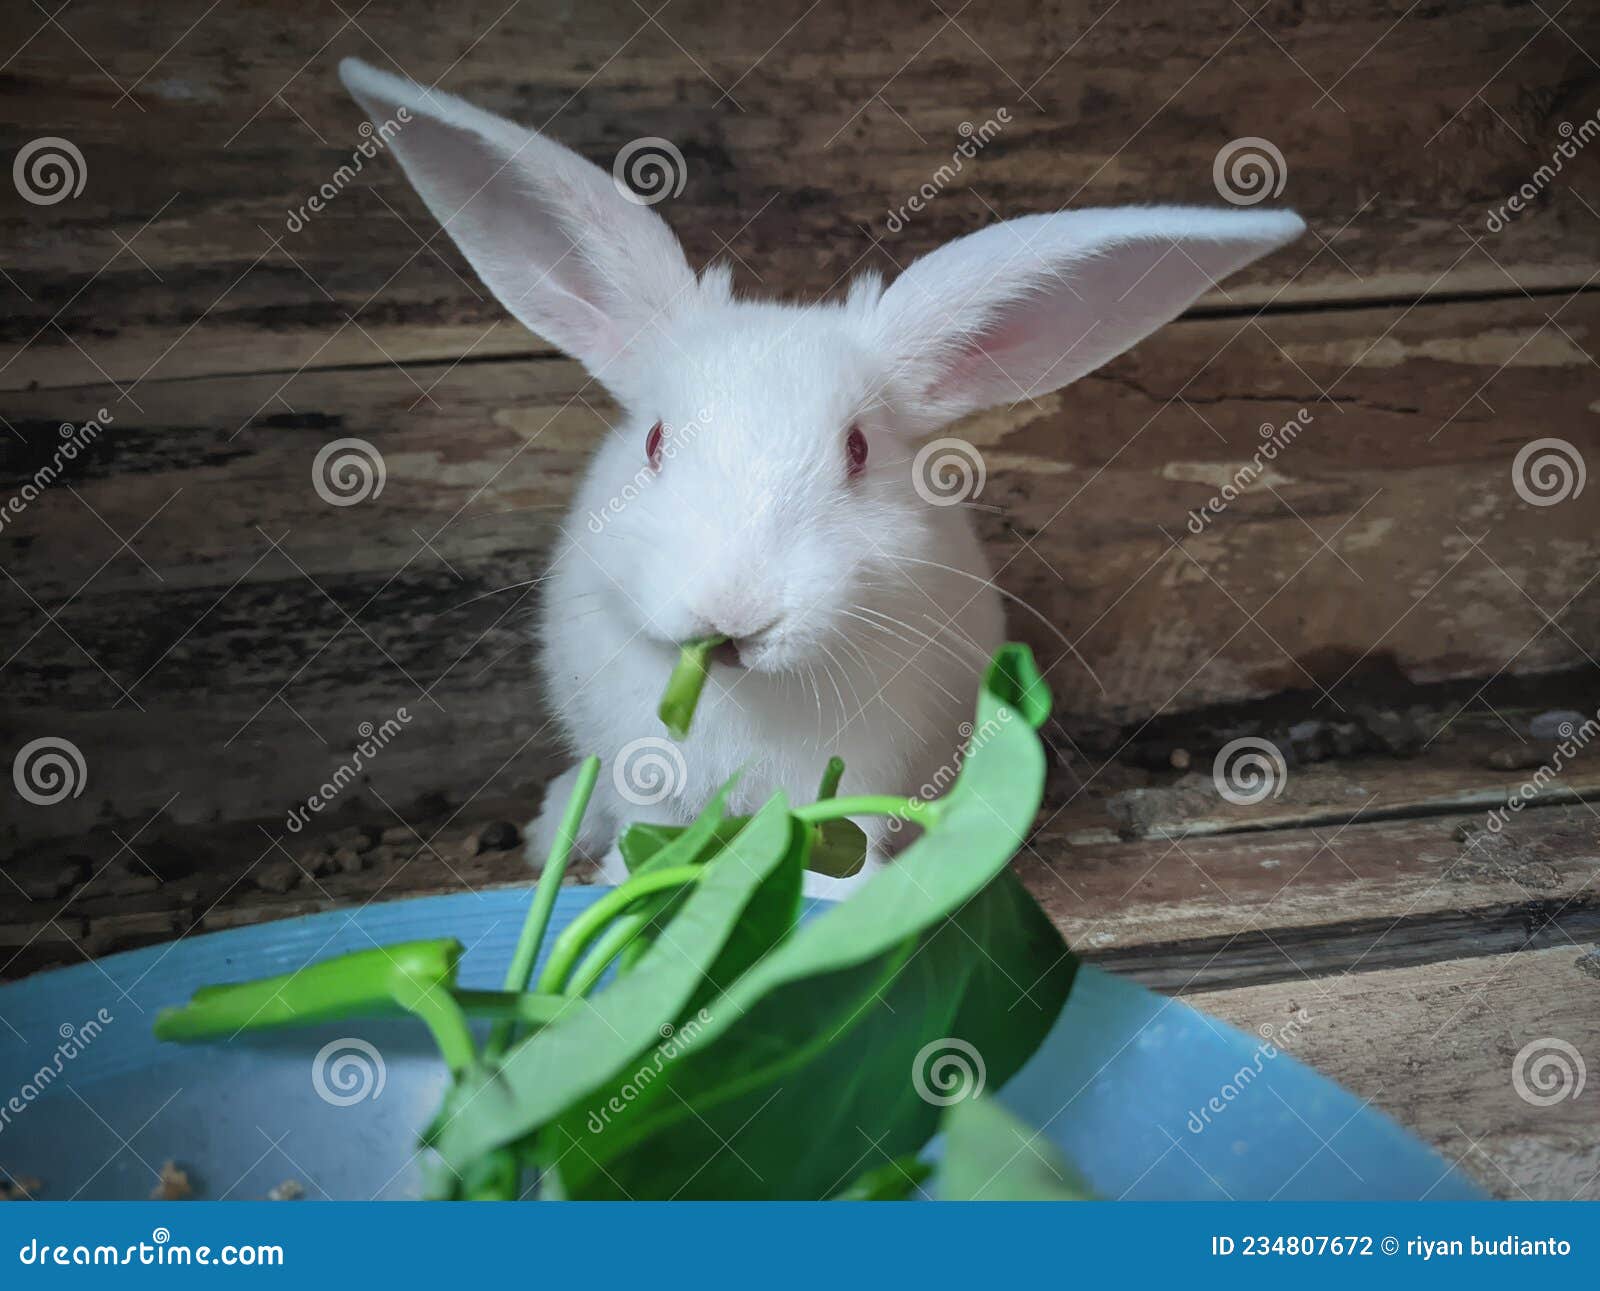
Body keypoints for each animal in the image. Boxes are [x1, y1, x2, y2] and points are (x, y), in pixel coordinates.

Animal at [339, 59, 1305, 893]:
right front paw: (618, 876)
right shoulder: (637, 763)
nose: (732, 614)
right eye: (653, 441)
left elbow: (845, 832)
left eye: (858, 450)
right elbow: (645, 819)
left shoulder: (864, 765)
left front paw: (840, 890)